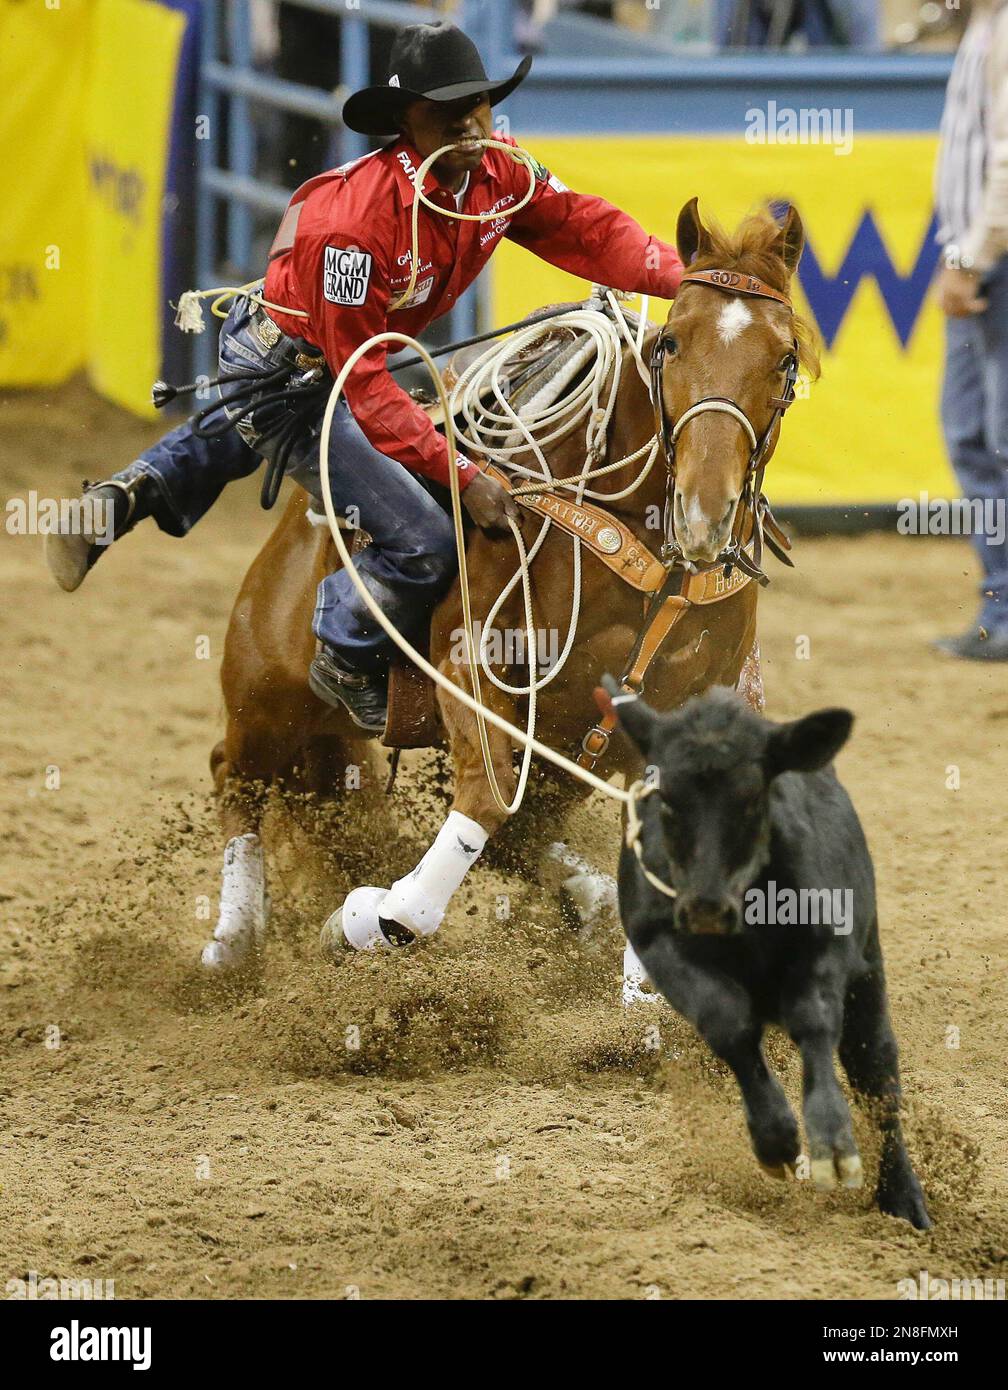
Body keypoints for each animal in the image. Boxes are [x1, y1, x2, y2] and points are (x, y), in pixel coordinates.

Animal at [198, 198, 820, 975]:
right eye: (671, 343)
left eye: (785, 360)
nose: (705, 510)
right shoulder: (470, 667)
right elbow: (480, 809)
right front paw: (369, 916)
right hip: (267, 698)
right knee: (236, 778)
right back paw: (231, 942)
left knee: (523, 837)